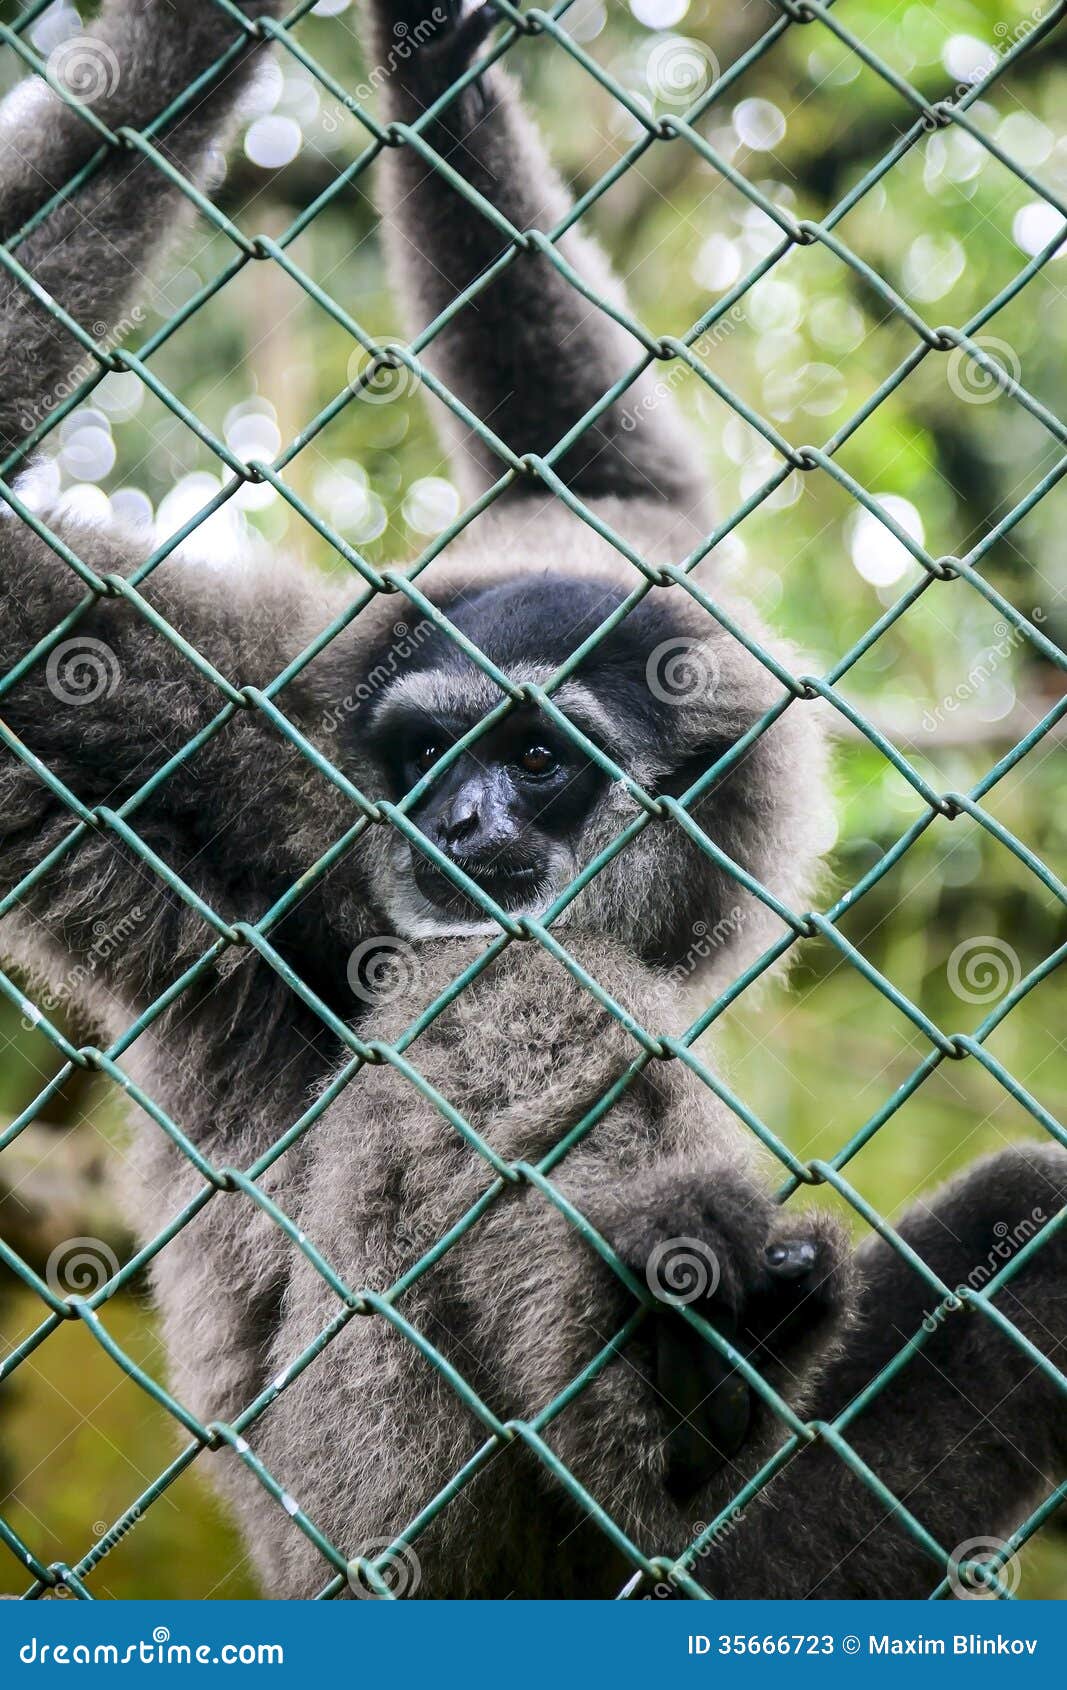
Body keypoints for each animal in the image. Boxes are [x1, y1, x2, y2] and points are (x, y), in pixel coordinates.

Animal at [0, 0, 1063, 1601]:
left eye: (540, 759)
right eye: (432, 758)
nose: (462, 825)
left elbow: (590, 456)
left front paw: (433, 52)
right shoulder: (257, 760)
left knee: (1028, 1219)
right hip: (370, 1507)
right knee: (513, 992)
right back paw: (683, 1392)